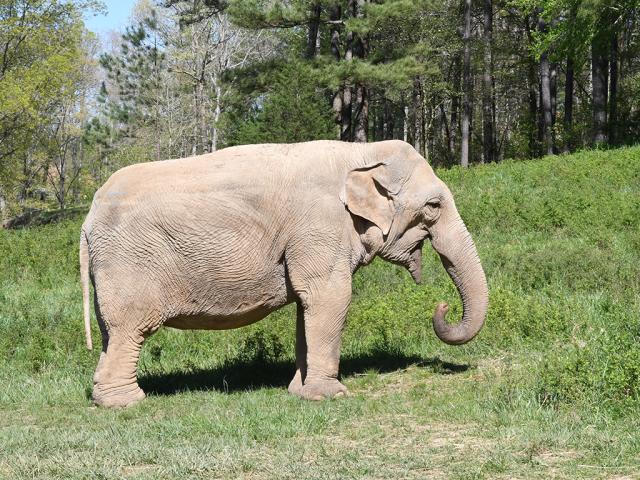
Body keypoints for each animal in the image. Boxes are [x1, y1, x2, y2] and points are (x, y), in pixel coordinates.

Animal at [79, 140, 488, 408]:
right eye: (433, 206)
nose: (442, 306)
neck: (359, 152)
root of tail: (86, 220)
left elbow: (308, 307)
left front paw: (299, 392)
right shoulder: (320, 225)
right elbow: (331, 297)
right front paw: (331, 396)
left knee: (112, 333)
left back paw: (105, 396)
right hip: (129, 263)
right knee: (130, 329)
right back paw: (127, 402)